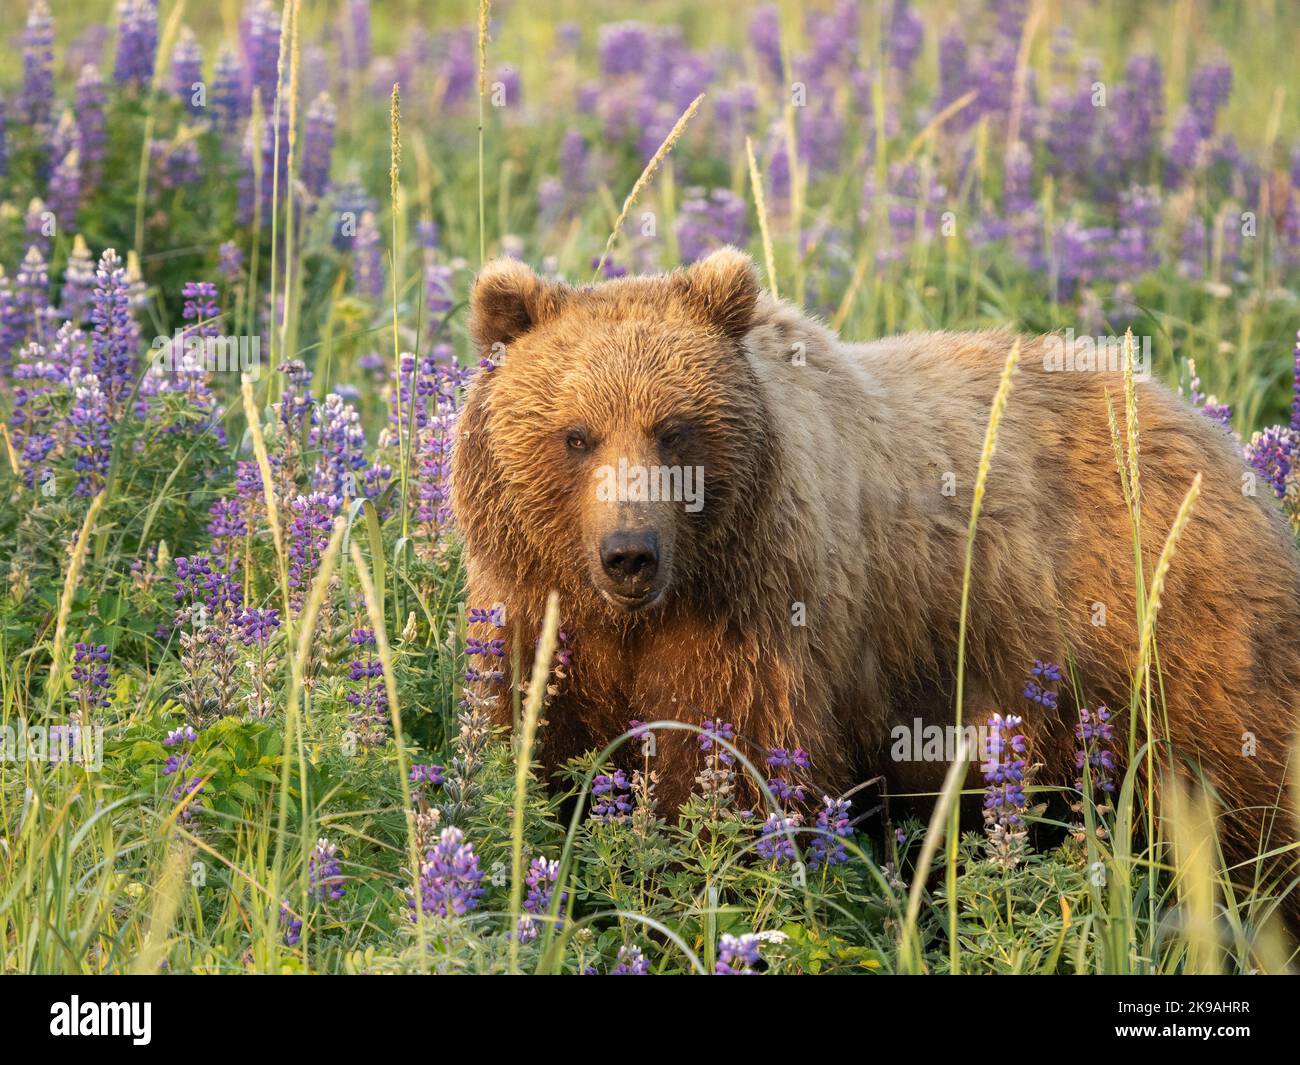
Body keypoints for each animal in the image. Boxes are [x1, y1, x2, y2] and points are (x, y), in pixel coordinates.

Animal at [451, 247, 1300, 911]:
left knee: (1248, 800)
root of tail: (1210, 430)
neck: (650, 610)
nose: (630, 551)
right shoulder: (536, 615)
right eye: (576, 434)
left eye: (674, 429)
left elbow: (739, 774)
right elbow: (540, 754)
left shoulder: (761, 624)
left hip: (1173, 626)